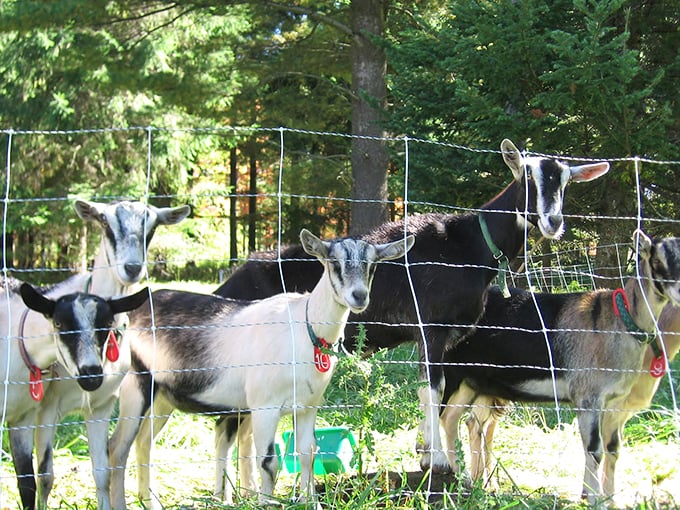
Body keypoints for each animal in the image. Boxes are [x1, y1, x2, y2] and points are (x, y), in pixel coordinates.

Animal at [1, 283, 149, 508]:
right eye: (59, 323)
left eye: (107, 323)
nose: (91, 375)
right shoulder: (48, 408)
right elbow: (45, 475)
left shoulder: (24, 416)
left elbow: (29, 483)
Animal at [107, 229, 414, 508]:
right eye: (333, 263)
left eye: (372, 265)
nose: (359, 296)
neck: (305, 329)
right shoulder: (265, 406)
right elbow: (268, 461)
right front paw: (266, 502)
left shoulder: (307, 407)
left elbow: (307, 454)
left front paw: (311, 502)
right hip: (135, 385)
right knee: (117, 448)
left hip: (162, 397)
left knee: (143, 443)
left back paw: (151, 501)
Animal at [213, 139, 610, 473]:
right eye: (527, 175)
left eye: (566, 182)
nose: (553, 221)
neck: (471, 247)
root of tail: (230, 282)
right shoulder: (430, 328)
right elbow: (430, 389)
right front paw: (437, 460)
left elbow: (434, 391)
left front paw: (424, 453)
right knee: (230, 428)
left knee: (242, 430)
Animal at [437, 231, 680, 504]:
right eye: (657, 261)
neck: (618, 323)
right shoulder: (588, 396)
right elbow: (594, 449)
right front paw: (593, 500)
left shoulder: (615, 403)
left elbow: (613, 449)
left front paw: (610, 500)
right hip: (452, 373)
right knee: (443, 414)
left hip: (475, 383)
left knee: (456, 419)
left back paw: (466, 480)